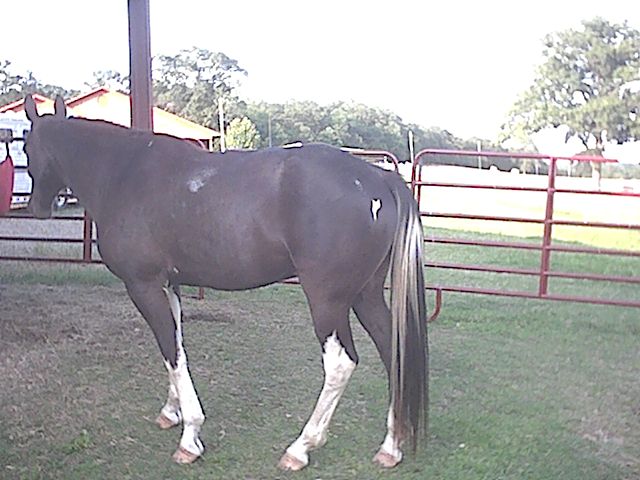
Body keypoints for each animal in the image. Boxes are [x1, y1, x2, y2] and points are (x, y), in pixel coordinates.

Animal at [22, 94, 428, 471]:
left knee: (341, 365)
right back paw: (390, 447)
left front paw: (190, 436)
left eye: (26, 147)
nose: (37, 208)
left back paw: (301, 447)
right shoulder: (169, 285)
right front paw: (171, 412)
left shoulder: (144, 285)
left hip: (327, 302)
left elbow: (169, 350)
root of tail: (378, 178)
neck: (124, 173)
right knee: (392, 350)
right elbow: (176, 345)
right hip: (365, 296)